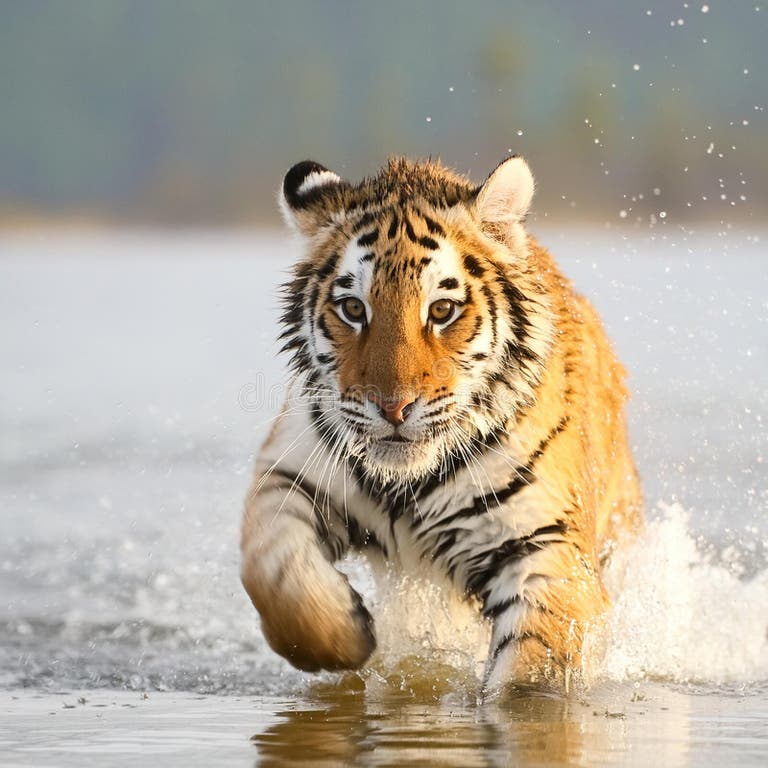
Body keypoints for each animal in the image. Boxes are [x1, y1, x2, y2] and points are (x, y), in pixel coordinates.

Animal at [240, 155, 642, 691]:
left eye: (442, 310)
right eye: (353, 308)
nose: (392, 408)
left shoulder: (543, 546)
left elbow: (528, 676)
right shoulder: (288, 474)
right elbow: (270, 571)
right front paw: (351, 636)